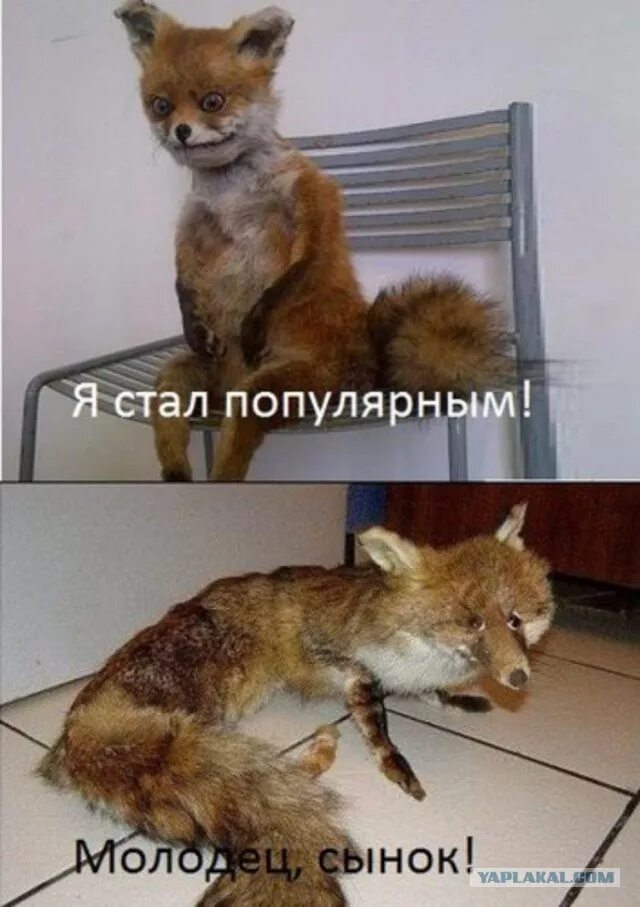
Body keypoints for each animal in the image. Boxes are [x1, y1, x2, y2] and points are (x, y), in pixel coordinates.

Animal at [40, 503, 553, 905]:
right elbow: (378, 723)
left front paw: (454, 700)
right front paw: (394, 763)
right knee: (282, 776)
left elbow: (429, 693)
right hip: (209, 714)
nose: (519, 677)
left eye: (515, 619)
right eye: (472, 623)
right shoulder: (342, 660)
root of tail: (78, 729)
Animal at [114, 1, 511, 481]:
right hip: (180, 376)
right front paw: (192, 320)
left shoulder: (313, 205)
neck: (233, 194)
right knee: (171, 416)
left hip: (269, 390)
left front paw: (255, 320)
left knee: (237, 440)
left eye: (212, 101)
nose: (181, 132)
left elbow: (296, 274)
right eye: (161, 106)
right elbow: (181, 279)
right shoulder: (194, 228)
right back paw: (175, 472)